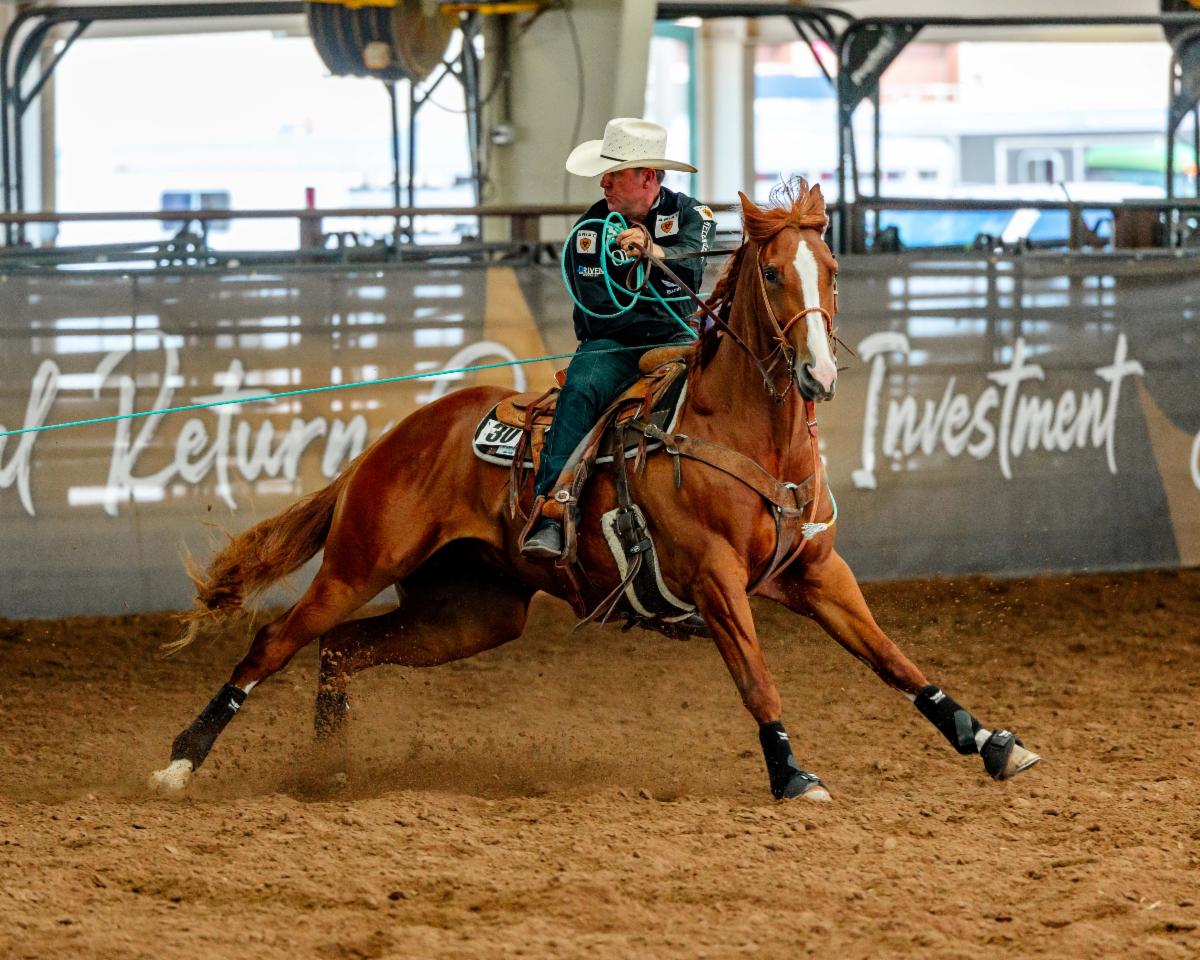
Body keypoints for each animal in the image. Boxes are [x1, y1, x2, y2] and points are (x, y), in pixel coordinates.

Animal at [150, 181, 1040, 801]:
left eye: (829, 270)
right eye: (773, 275)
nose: (818, 375)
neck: (740, 433)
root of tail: (392, 440)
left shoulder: (819, 573)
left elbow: (894, 659)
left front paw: (990, 741)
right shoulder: (715, 579)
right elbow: (756, 677)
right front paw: (792, 775)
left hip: (470, 612)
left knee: (339, 649)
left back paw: (328, 771)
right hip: (359, 562)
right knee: (277, 643)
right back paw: (179, 763)